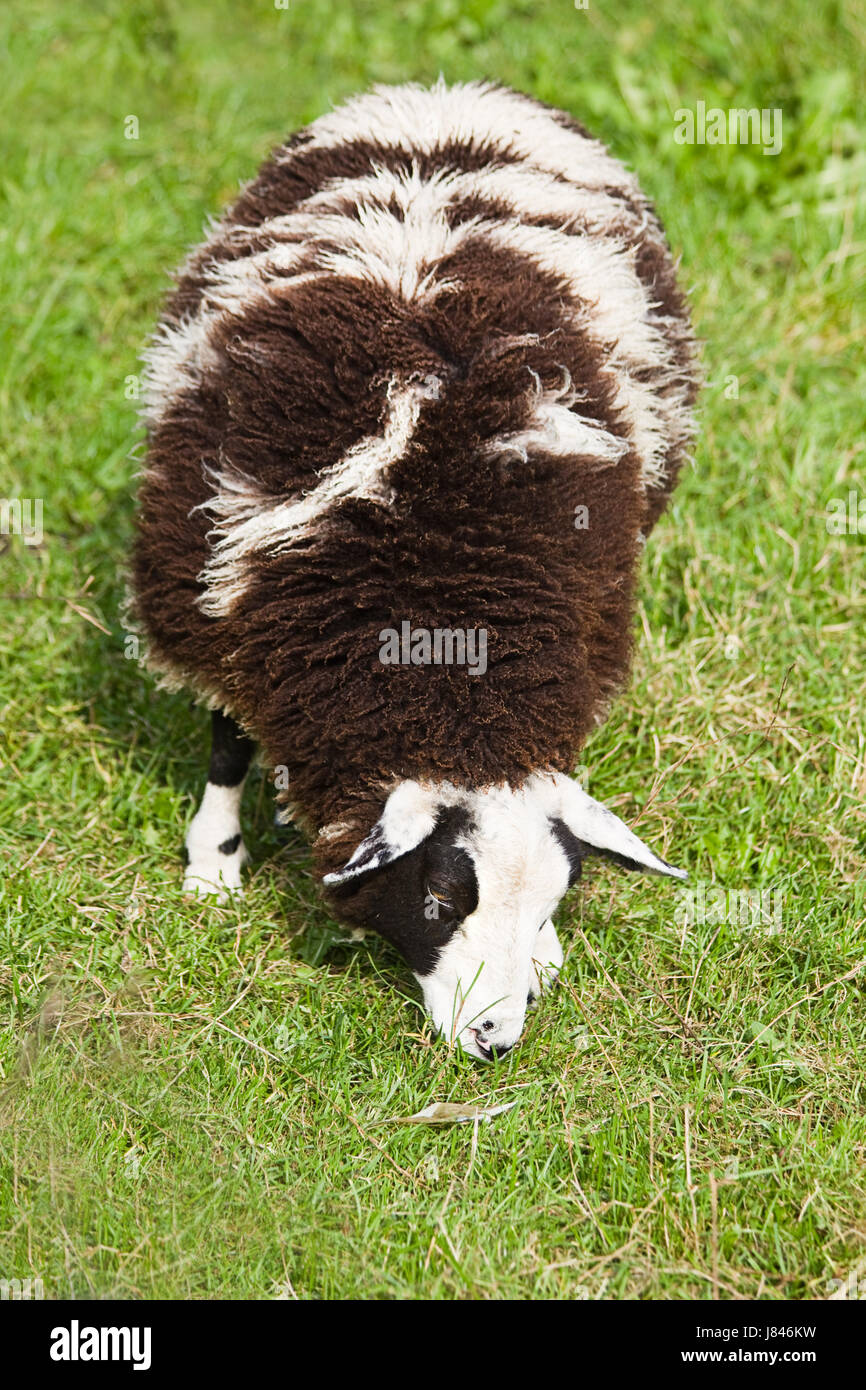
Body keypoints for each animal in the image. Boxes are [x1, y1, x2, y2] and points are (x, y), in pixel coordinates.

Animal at [131, 80, 698, 1059]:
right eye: (439, 898)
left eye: (551, 902)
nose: (495, 1039)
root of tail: (451, 91)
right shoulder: (217, 575)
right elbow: (226, 736)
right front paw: (214, 865)